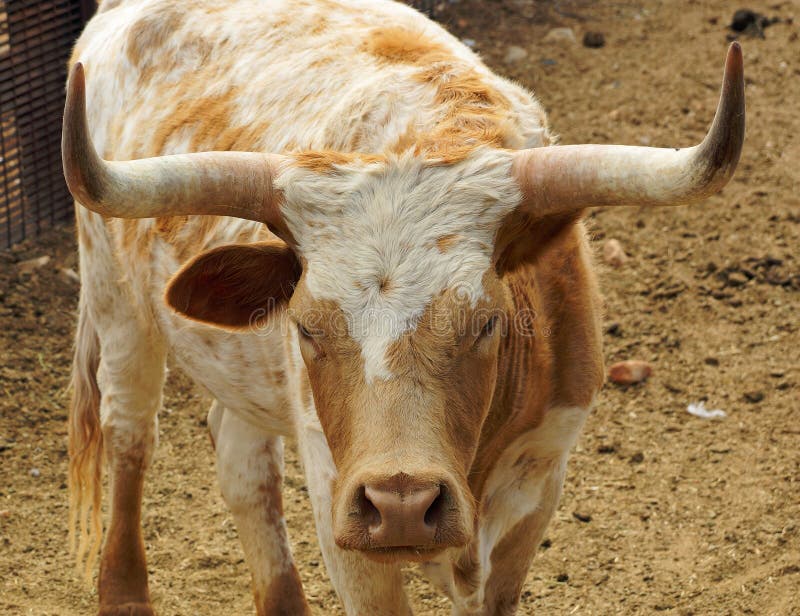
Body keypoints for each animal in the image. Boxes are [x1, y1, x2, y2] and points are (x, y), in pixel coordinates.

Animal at [62, 1, 744, 614]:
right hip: (115, 299)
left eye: (488, 323)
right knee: (130, 432)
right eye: (307, 328)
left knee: (241, 460)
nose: (402, 505)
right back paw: (123, 592)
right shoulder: (338, 502)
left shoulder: (542, 478)